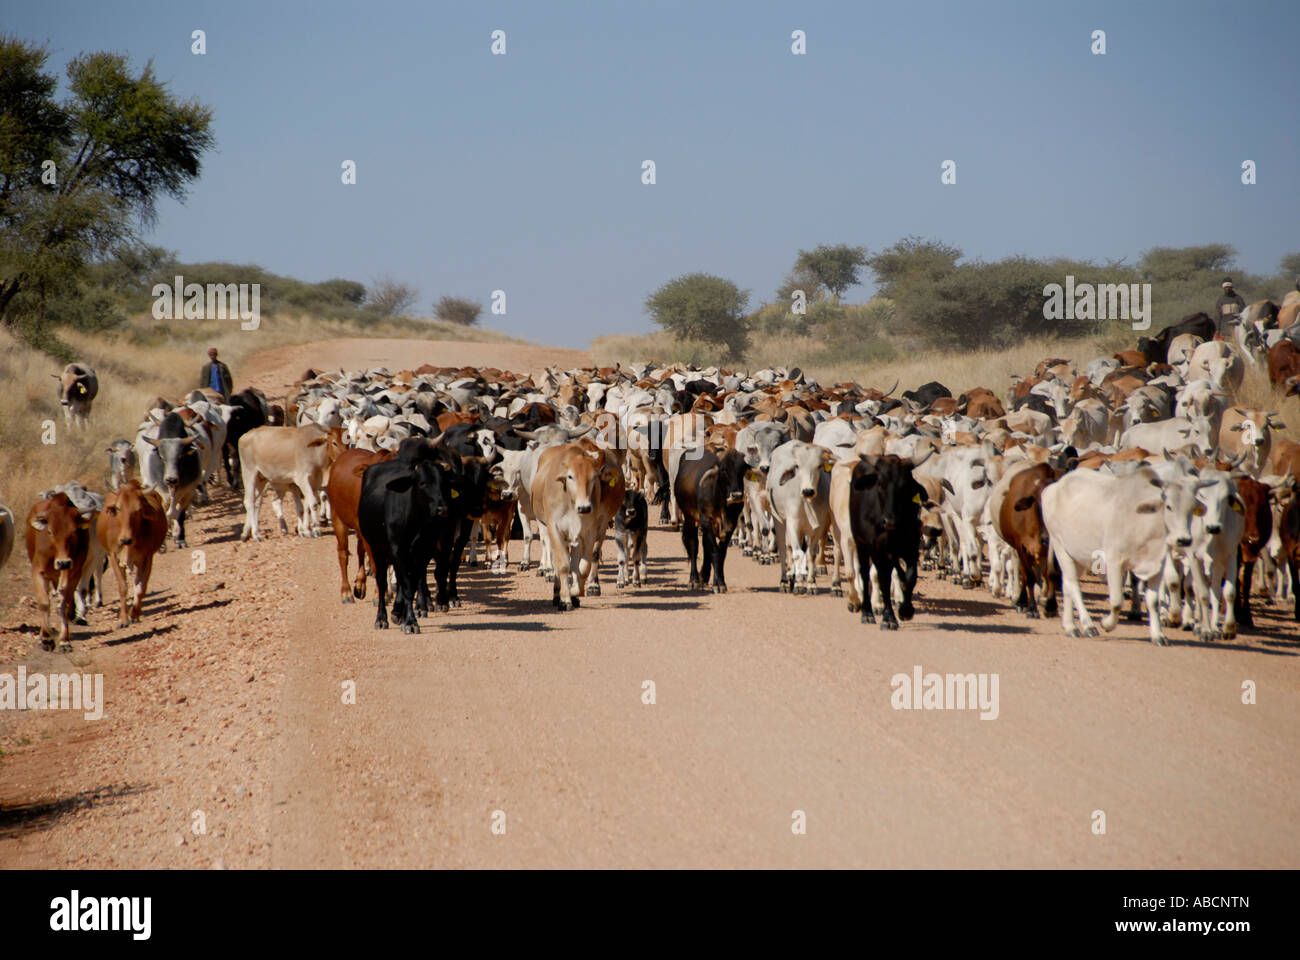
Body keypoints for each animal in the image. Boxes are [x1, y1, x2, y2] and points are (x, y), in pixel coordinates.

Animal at [25, 493, 94, 649]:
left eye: (74, 531)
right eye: (50, 531)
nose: (63, 562)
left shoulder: (74, 572)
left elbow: (64, 604)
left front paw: (64, 640)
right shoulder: (38, 571)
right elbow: (44, 603)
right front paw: (46, 639)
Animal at [95, 480, 167, 628]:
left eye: (139, 509)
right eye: (118, 508)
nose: (125, 540)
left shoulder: (147, 558)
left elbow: (140, 587)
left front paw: (134, 614)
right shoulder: (114, 557)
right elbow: (123, 587)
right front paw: (123, 619)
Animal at [673, 446, 748, 594]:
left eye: (742, 469)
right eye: (724, 469)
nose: (737, 495)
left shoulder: (731, 525)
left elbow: (721, 553)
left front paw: (721, 582)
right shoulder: (706, 521)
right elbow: (714, 551)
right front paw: (717, 584)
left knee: (704, 545)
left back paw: (704, 577)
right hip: (690, 518)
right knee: (693, 546)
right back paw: (694, 580)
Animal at [848, 455, 926, 629]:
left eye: (904, 486)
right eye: (881, 484)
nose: (889, 521)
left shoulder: (911, 549)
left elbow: (910, 578)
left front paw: (905, 610)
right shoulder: (877, 550)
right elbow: (884, 579)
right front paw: (889, 618)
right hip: (861, 543)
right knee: (864, 573)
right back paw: (867, 613)